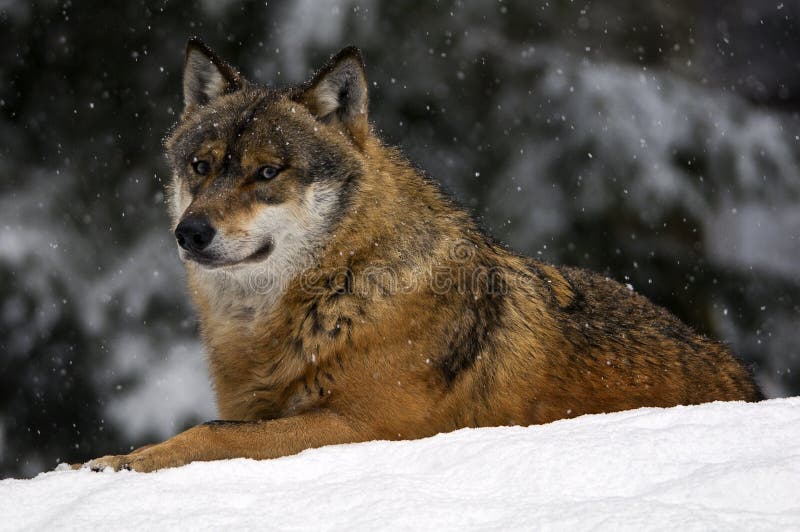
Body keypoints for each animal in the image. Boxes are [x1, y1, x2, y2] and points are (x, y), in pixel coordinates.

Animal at [83, 39, 761, 472]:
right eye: (201, 167)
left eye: (267, 172)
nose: (190, 233)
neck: (340, 286)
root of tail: (747, 382)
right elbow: (216, 426)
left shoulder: (361, 427)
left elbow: (210, 434)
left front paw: (118, 463)